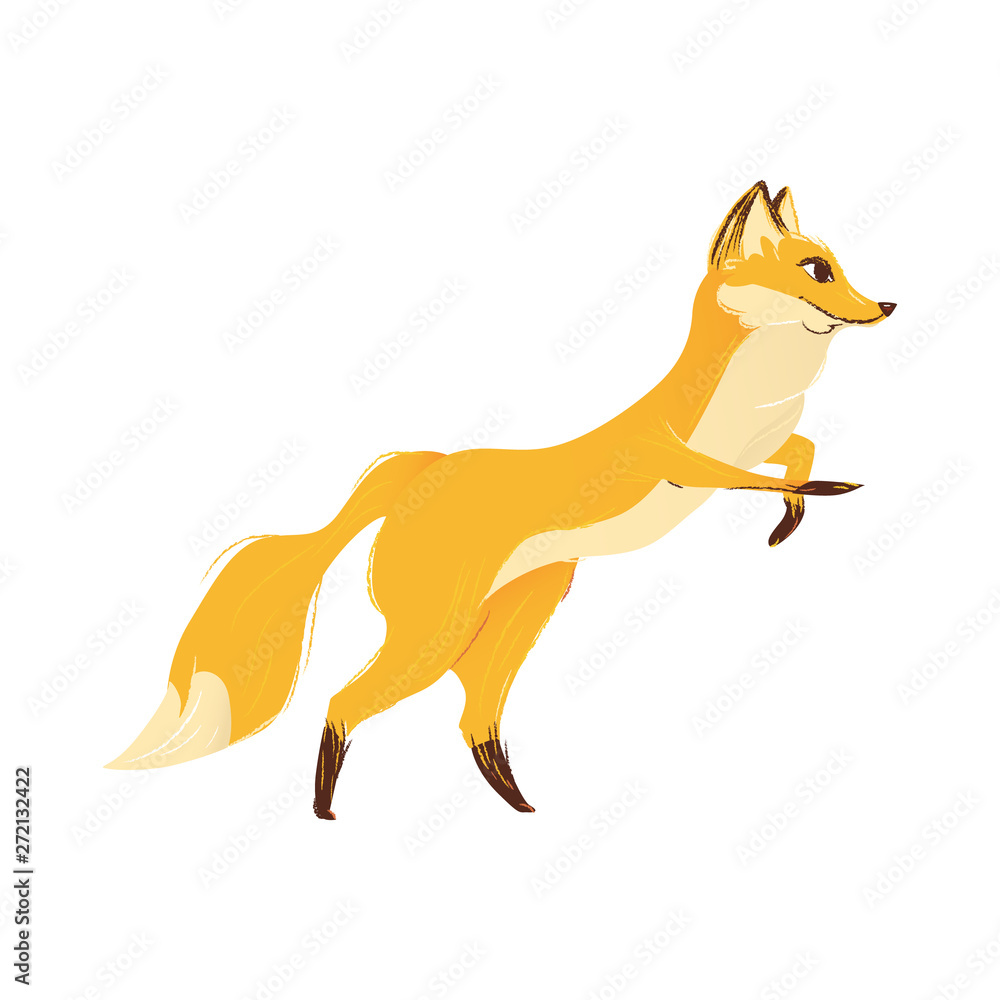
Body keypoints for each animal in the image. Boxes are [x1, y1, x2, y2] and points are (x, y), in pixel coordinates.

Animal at [107, 180, 896, 819]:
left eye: (838, 266)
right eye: (817, 270)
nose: (886, 304)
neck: (752, 397)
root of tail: (417, 471)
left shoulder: (757, 445)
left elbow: (797, 456)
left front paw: (791, 519)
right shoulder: (671, 458)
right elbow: (776, 476)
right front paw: (818, 497)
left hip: (517, 618)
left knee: (472, 721)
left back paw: (514, 802)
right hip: (440, 632)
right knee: (343, 702)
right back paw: (325, 810)